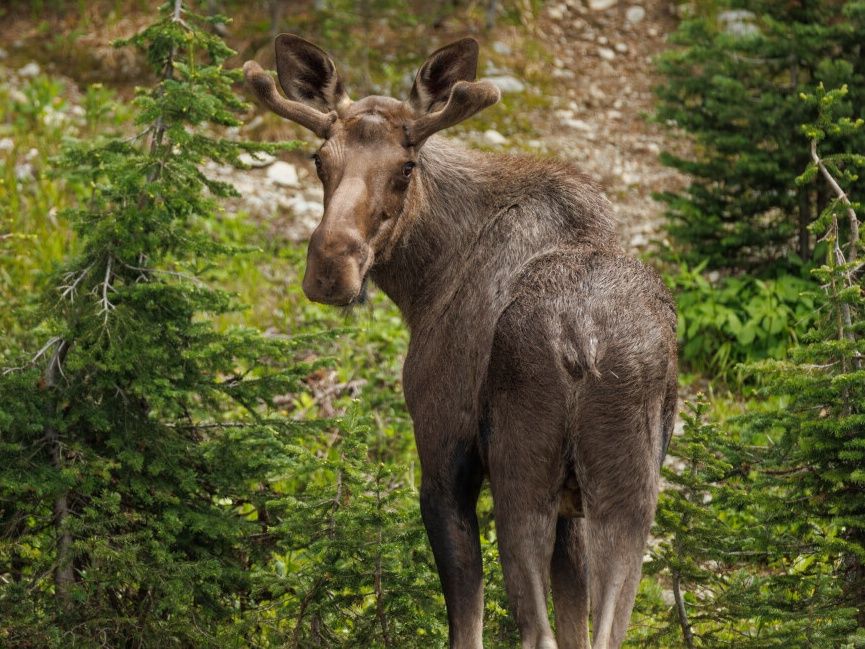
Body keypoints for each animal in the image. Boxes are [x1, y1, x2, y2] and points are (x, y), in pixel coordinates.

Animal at [244, 34, 677, 649]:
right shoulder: (573, 512)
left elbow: (465, 618)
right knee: (606, 629)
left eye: (406, 167)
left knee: (535, 630)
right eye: (319, 159)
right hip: (628, 491)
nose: (330, 267)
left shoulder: (444, 452)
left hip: (522, 474)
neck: (425, 282)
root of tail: (582, 345)